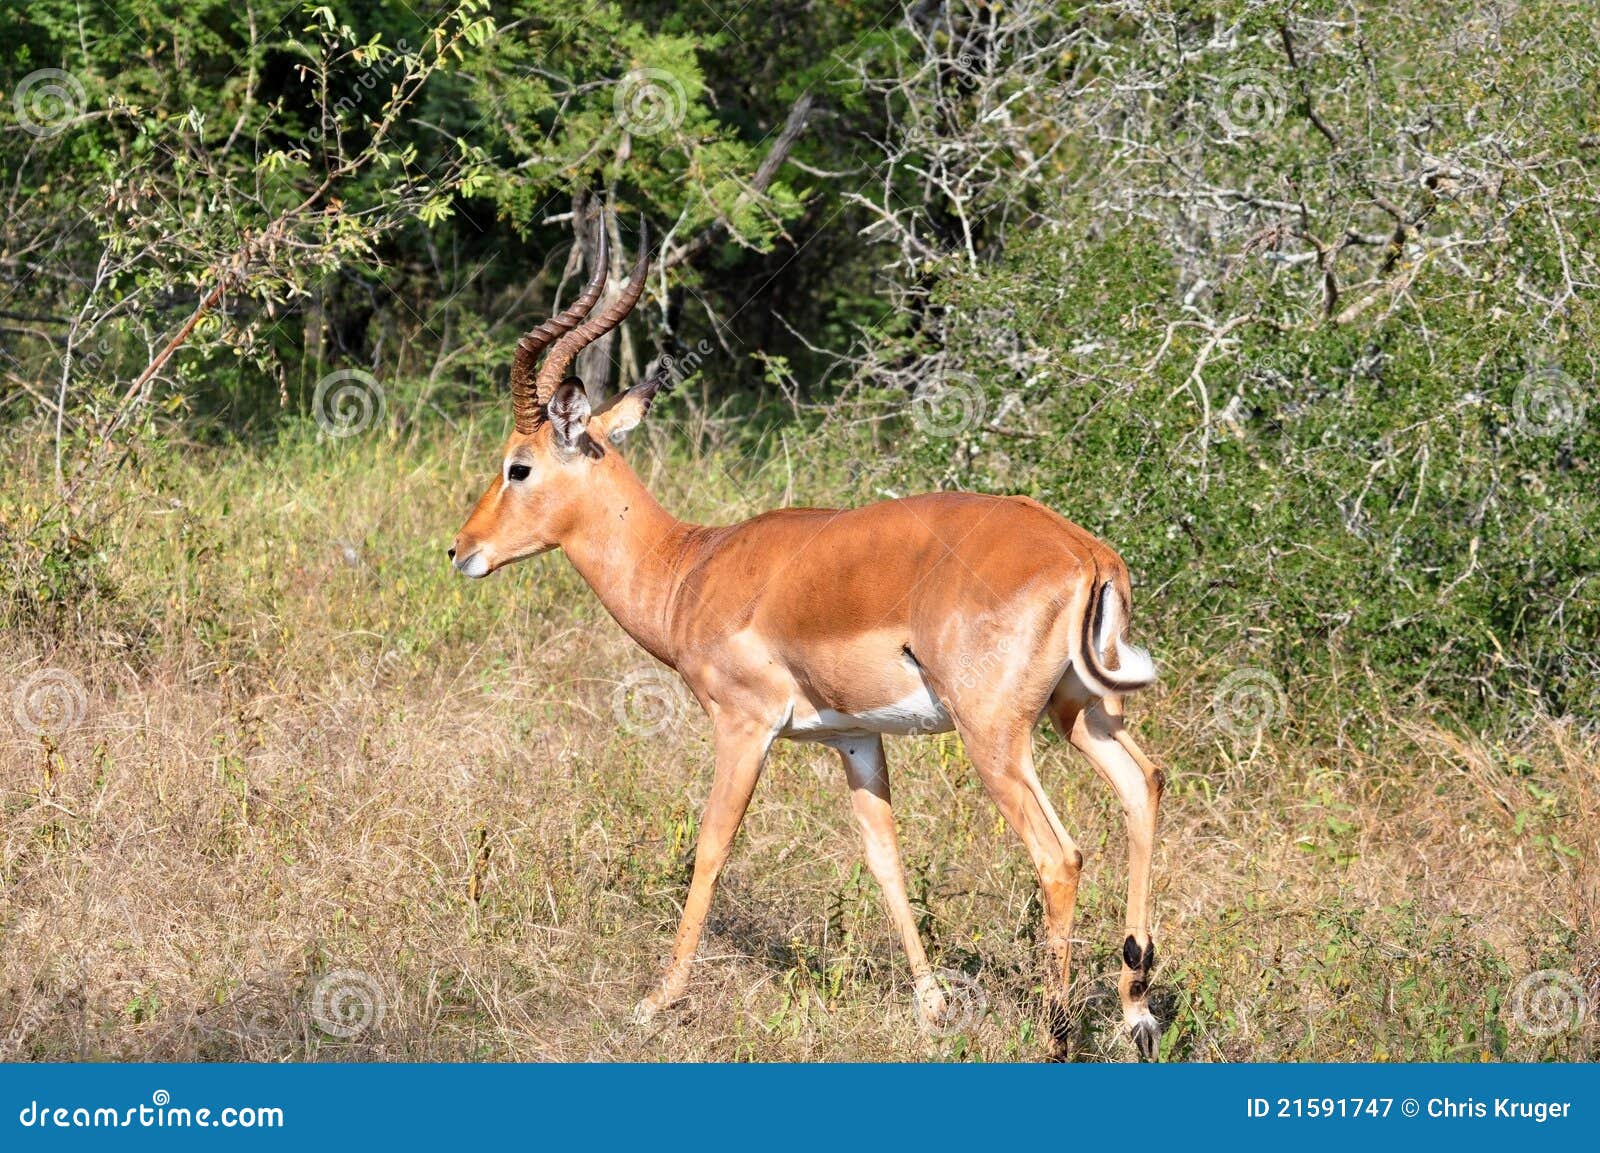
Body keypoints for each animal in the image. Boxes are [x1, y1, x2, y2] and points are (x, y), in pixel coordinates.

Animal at [449, 220, 1167, 1059]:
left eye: (518, 466)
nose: (462, 549)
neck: (692, 566)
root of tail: (1086, 553)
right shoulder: (855, 738)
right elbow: (885, 857)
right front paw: (932, 1006)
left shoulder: (744, 724)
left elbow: (712, 846)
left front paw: (656, 1000)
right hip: (1080, 712)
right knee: (1144, 785)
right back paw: (1136, 1010)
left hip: (995, 735)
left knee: (1060, 854)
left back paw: (1055, 1034)